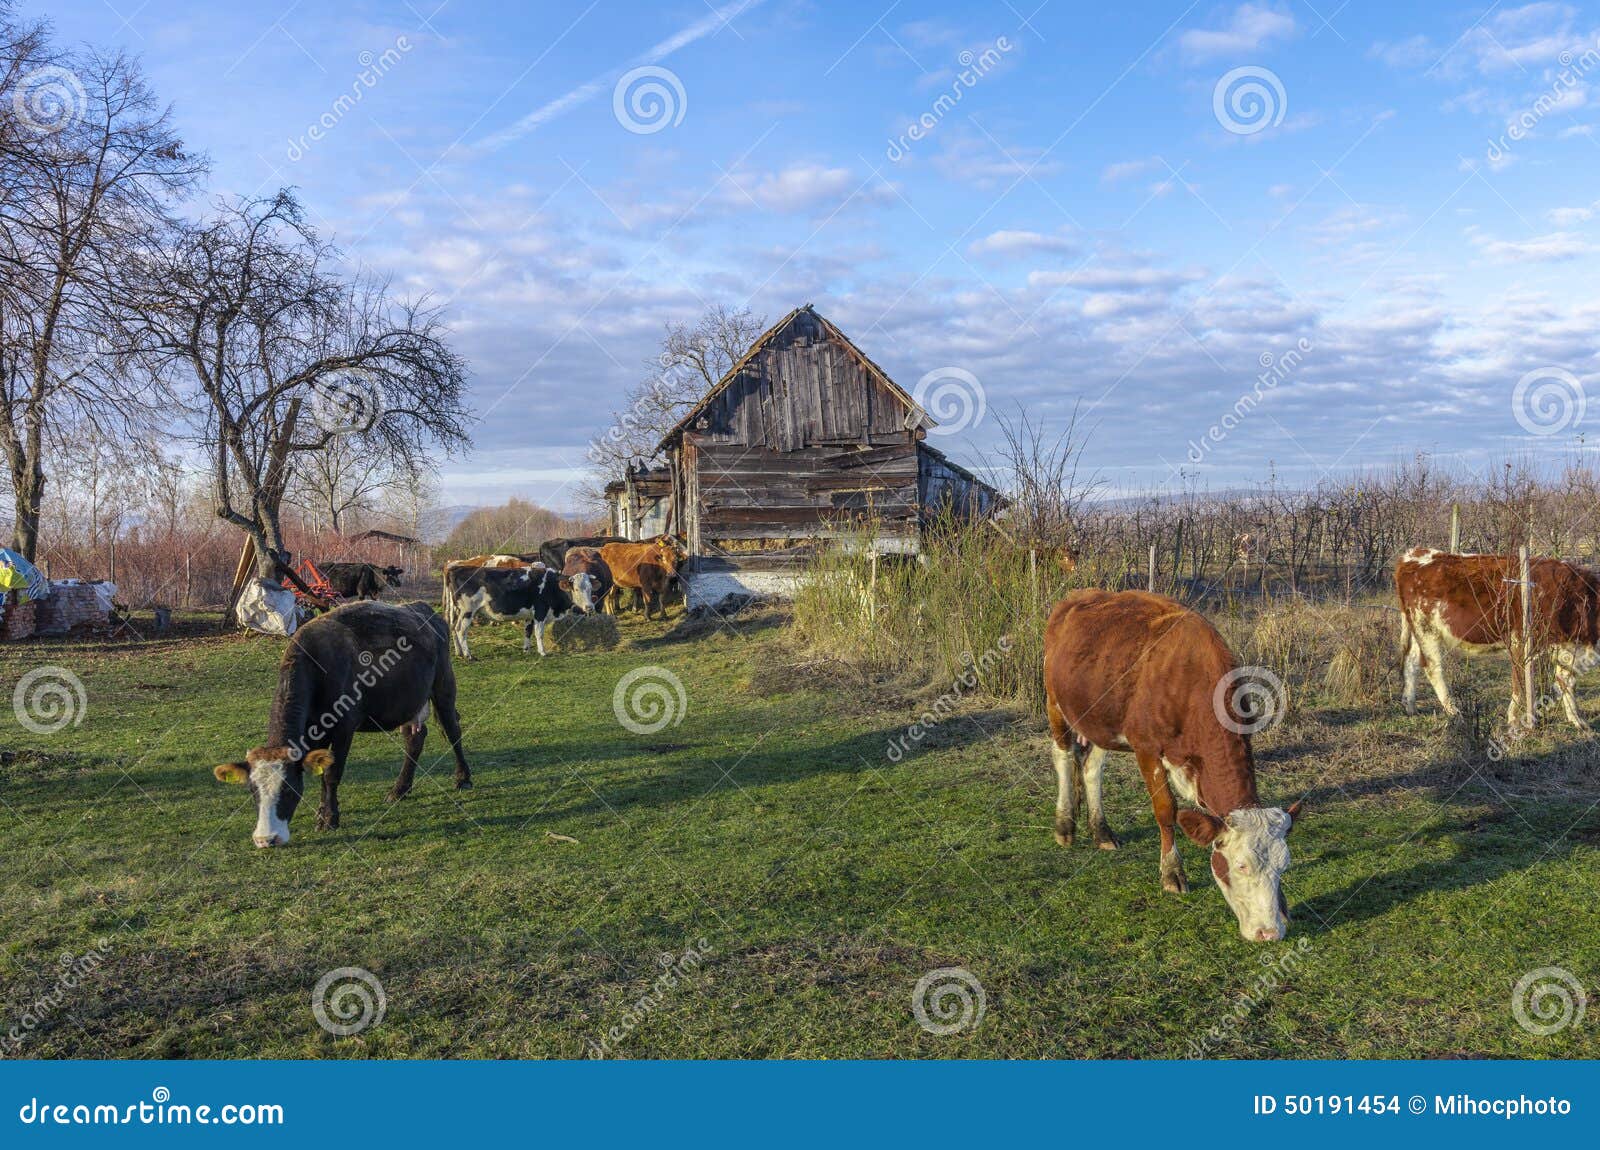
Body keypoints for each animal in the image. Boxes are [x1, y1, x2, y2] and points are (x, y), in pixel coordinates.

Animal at [211, 600, 471, 847]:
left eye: (288, 788)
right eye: (252, 790)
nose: (266, 839)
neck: (317, 667)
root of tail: (423, 609)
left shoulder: (344, 729)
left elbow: (331, 774)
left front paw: (330, 818)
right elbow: (321, 773)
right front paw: (321, 813)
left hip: (443, 687)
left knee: (452, 729)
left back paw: (463, 778)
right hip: (408, 702)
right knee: (414, 739)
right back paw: (399, 790)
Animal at [444, 563, 579, 658]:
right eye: (576, 589)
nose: (584, 607)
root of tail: (455, 569)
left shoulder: (530, 615)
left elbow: (528, 631)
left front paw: (526, 650)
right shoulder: (540, 611)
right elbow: (539, 633)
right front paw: (542, 652)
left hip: (456, 611)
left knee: (453, 627)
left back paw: (459, 652)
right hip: (467, 611)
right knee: (461, 630)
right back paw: (468, 655)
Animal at [1043, 589, 1302, 942]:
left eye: (1283, 866)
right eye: (1241, 865)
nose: (1270, 932)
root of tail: (1078, 595)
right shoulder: (1147, 749)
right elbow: (1166, 810)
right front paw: (1172, 872)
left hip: (1101, 720)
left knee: (1092, 770)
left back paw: (1102, 831)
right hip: (1054, 702)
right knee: (1064, 757)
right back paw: (1065, 826)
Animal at [1396, 547, 1600, 730]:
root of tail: (1412, 555)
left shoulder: (1567, 647)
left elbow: (1567, 681)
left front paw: (1577, 721)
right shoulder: (1521, 641)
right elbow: (1520, 681)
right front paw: (1515, 719)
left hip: (1417, 629)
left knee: (1411, 661)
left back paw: (1410, 706)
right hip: (1426, 630)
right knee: (1433, 668)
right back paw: (1454, 713)